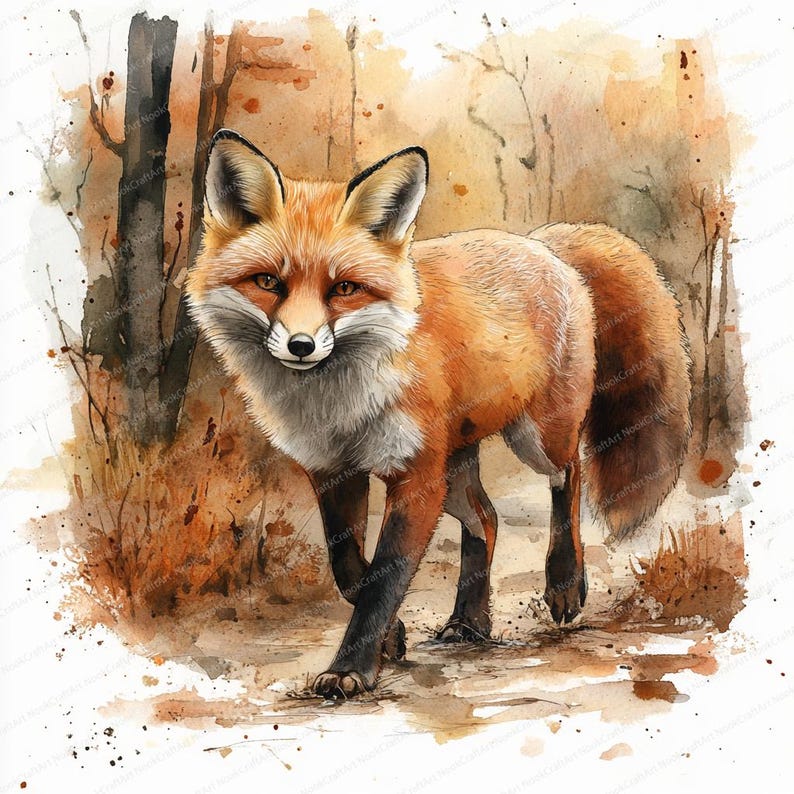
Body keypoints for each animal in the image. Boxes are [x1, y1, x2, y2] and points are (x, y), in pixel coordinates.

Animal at [186, 129, 691, 699]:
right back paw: (470, 622)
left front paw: (351, 668)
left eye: (344, 288)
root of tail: (543, 244)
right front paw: (391, 639)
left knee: (570, 473)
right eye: (269, 282)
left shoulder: (415, 475)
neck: (337, 405)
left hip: (534, 438)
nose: (301, 345)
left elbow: (383, 579)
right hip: (455, 467)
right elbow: (348, 569)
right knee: (486, 519)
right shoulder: (332, 470)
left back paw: (564, 582)